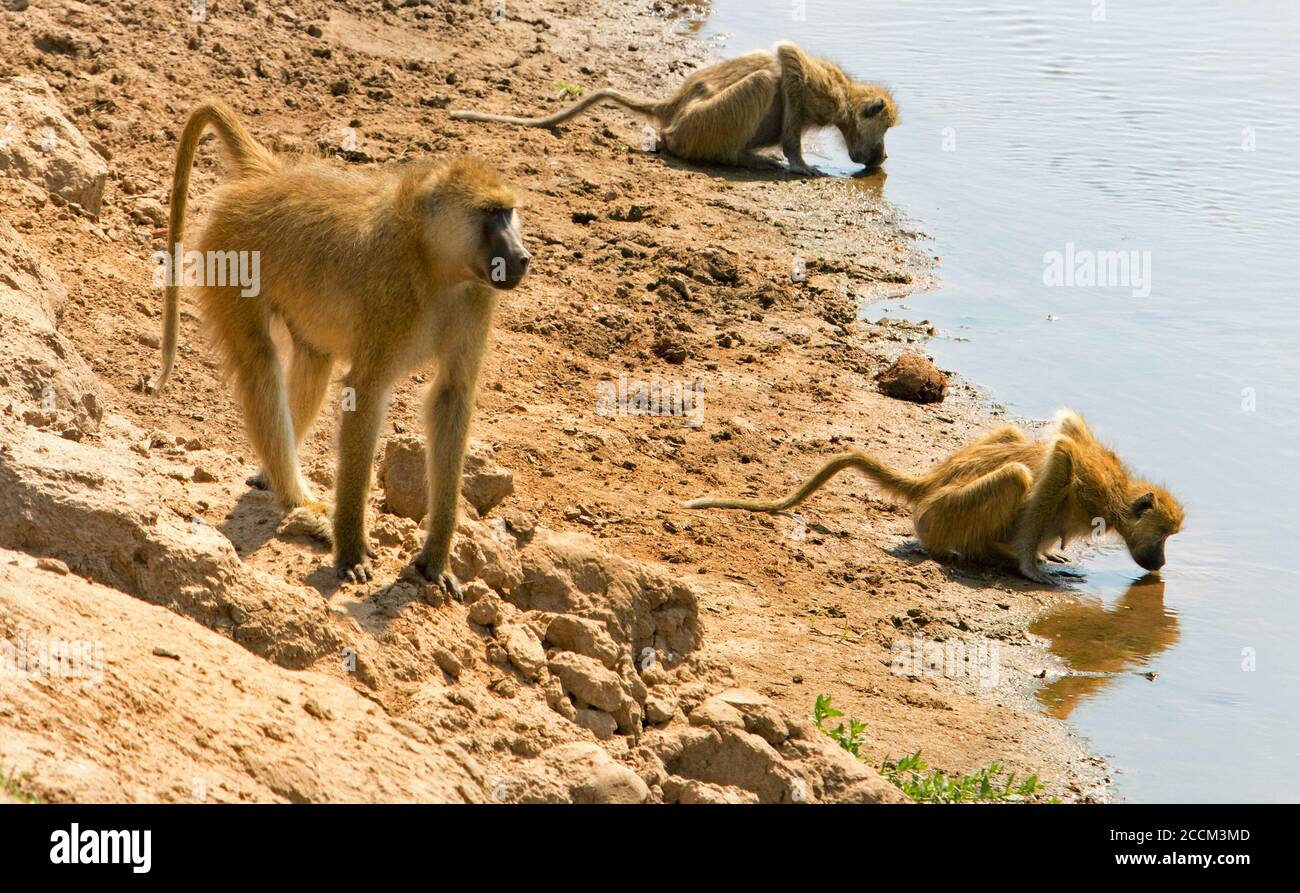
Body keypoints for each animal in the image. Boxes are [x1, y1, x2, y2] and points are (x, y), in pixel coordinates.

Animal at [148, 100, 531, 593]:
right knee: (260, 364)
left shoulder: (476, 297)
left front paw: (435, 559)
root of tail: (267, 178)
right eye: (490, 213)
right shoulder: (392, 294)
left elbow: (451, 396)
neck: (433, 260)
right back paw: (296, 498)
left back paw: (272, 477)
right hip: (229, 253)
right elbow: (365, 394)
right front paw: (350, 550)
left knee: (313, 363)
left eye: (508, 212)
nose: (522, 258)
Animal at [450, 42, 896, 176]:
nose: (885, 156)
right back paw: (741, 158)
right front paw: (799, 163)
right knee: (764, 81)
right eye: (887, 130)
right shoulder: (816, 86)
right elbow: (786, 62)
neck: (846, 99)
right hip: (701, 127)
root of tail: (671, 110)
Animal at [684, 410, 1184, 583]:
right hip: (940, 516)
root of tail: (930, 483)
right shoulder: (1091, 484)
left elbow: (1065, 426)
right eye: (1164, 537)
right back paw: (990, 555)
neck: (1118, 499)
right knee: (1017, 475)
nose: (1161, 562)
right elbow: (1059, 455)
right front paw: (1030, 566)